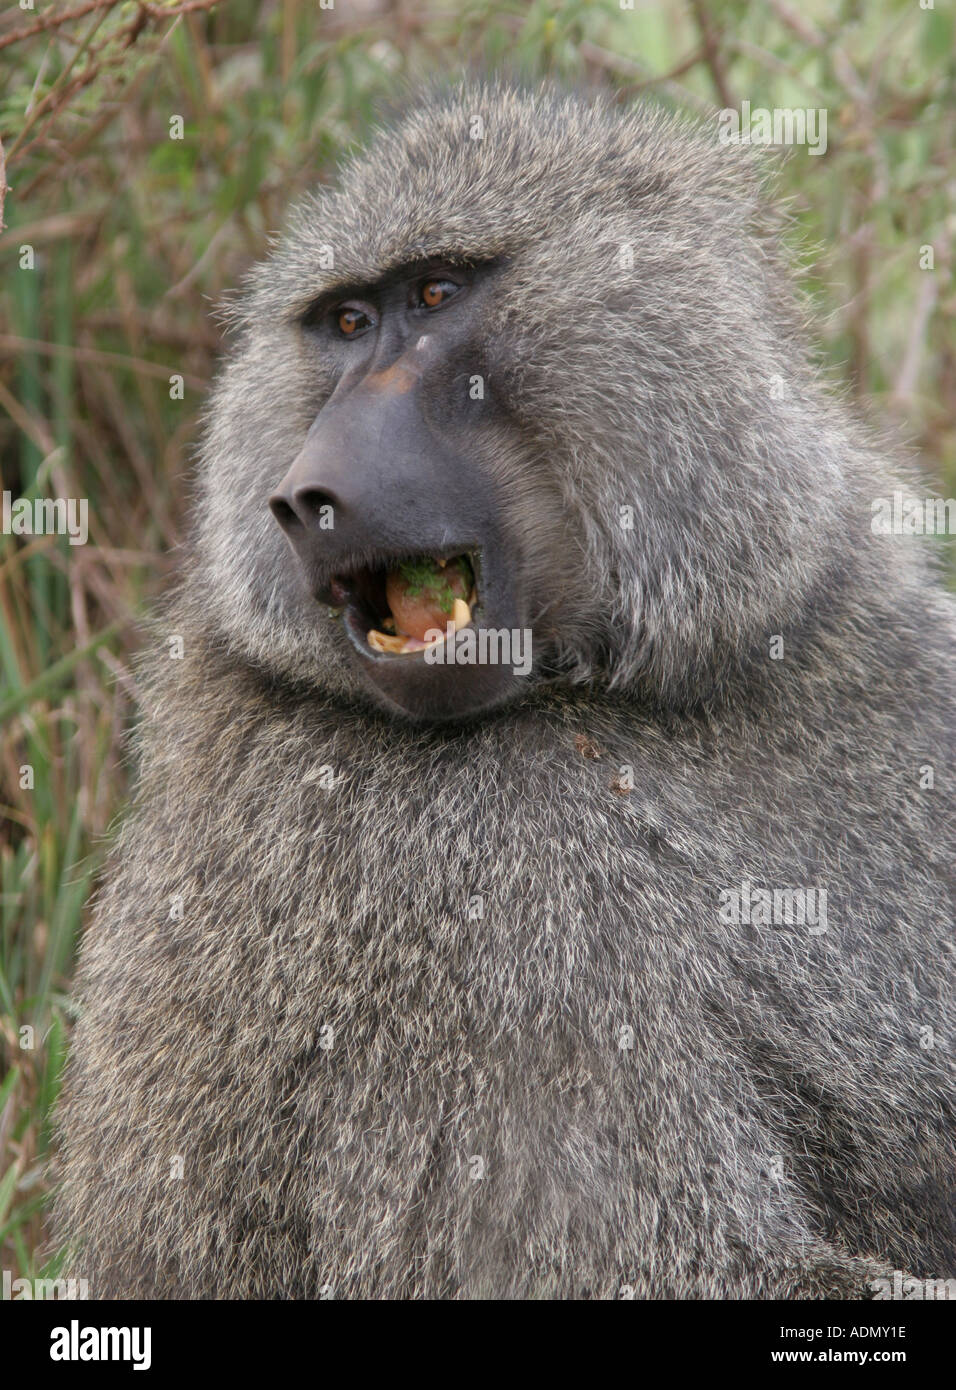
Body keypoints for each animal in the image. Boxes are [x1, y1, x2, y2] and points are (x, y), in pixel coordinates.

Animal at [51, 80, 955, 1300]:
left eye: (434, 295)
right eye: (345, 324)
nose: (305, 495)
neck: (608, 697)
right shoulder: (470, 896)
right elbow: (665, 1263)